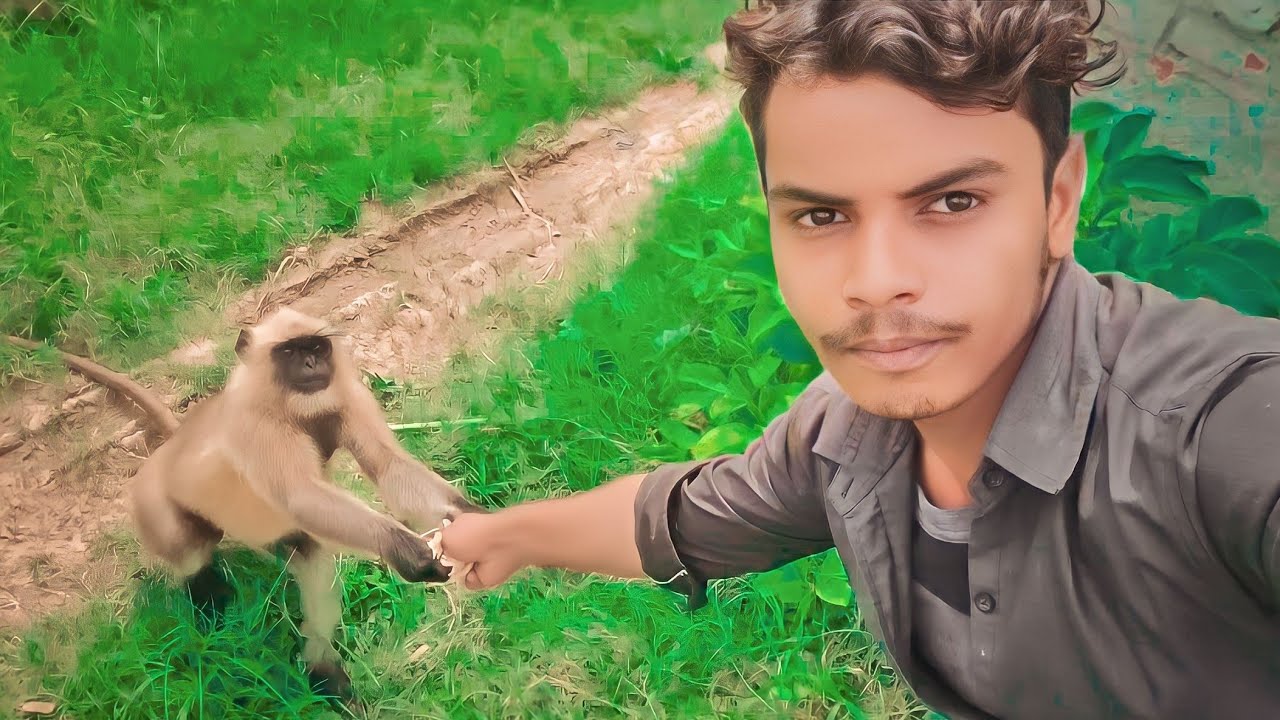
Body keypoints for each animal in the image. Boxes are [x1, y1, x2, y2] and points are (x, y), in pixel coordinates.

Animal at [5, 307, 486, 705]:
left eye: (317, 348)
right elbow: (301, 495)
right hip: (150, 503)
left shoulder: (347, 395)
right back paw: (210, 610)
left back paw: (323, 674)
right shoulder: (257, 425)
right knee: (189, 548)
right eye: (290, 352)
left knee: (311, 557)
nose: (311, 365)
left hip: (276, 534)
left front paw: (475, 521)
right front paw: (408, 553)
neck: (293, 408)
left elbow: (386, 468)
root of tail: (170, 446)